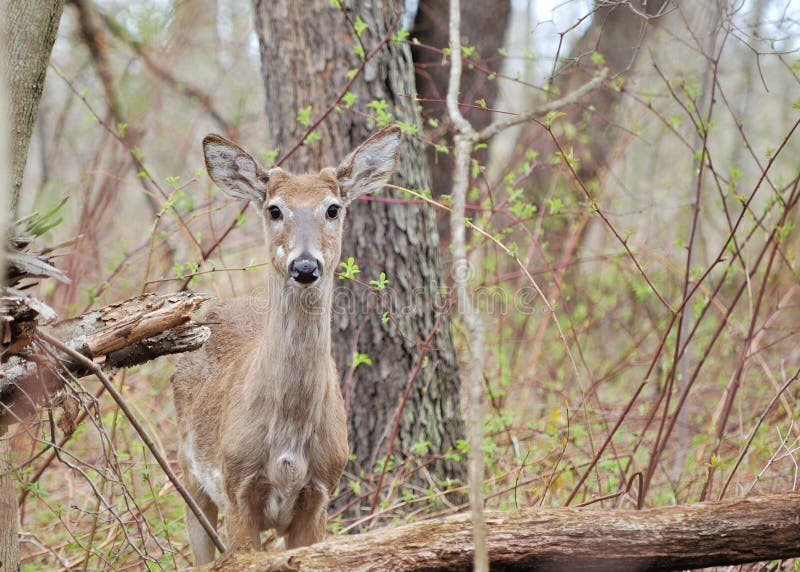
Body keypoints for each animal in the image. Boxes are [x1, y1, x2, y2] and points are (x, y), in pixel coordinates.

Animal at [170, 126, 402, 565]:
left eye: (333, 208)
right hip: (189, 473)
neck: (289, 446)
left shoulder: (320, 494)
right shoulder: (237, 488)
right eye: (275, 209)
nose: (305, 266)